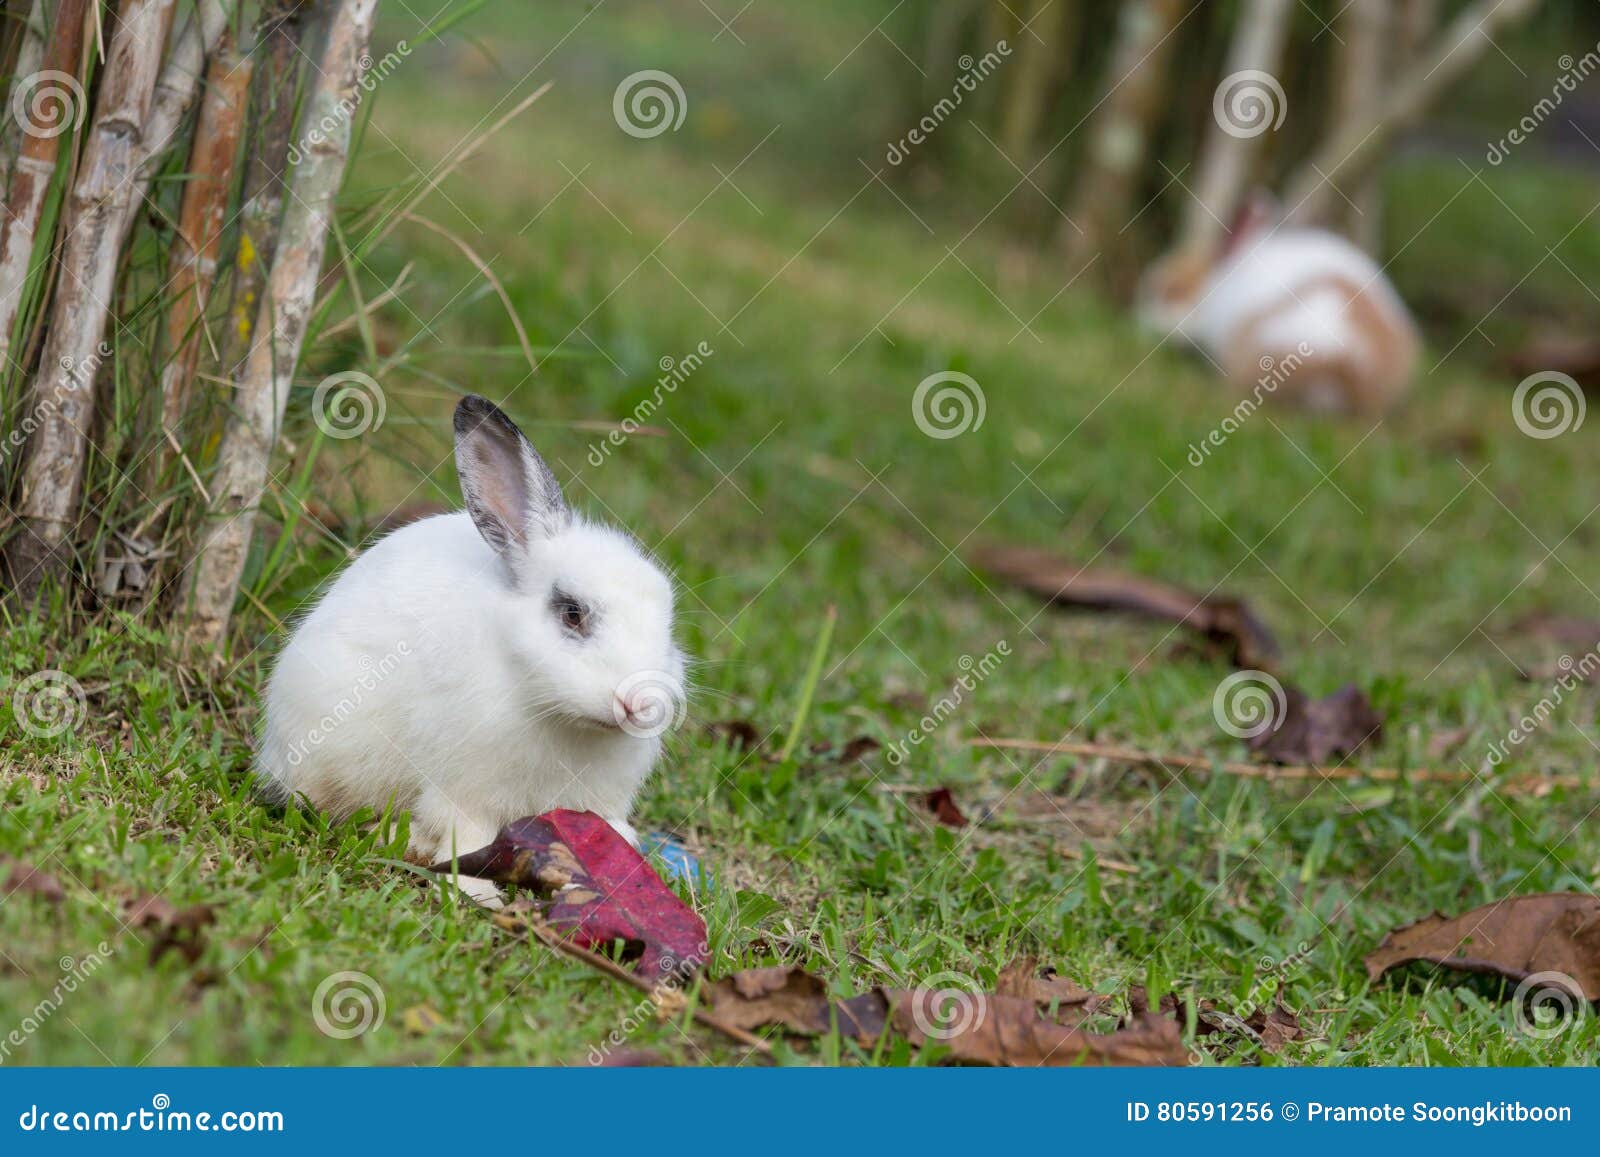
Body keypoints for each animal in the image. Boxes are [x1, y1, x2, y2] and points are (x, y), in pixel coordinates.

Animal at [255, 395, 687, 906]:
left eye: (668, 623)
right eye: (572, 614)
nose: (638, 703)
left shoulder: (599, 803)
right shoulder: (461, 794)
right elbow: (467, 842)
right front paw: (482, 896)